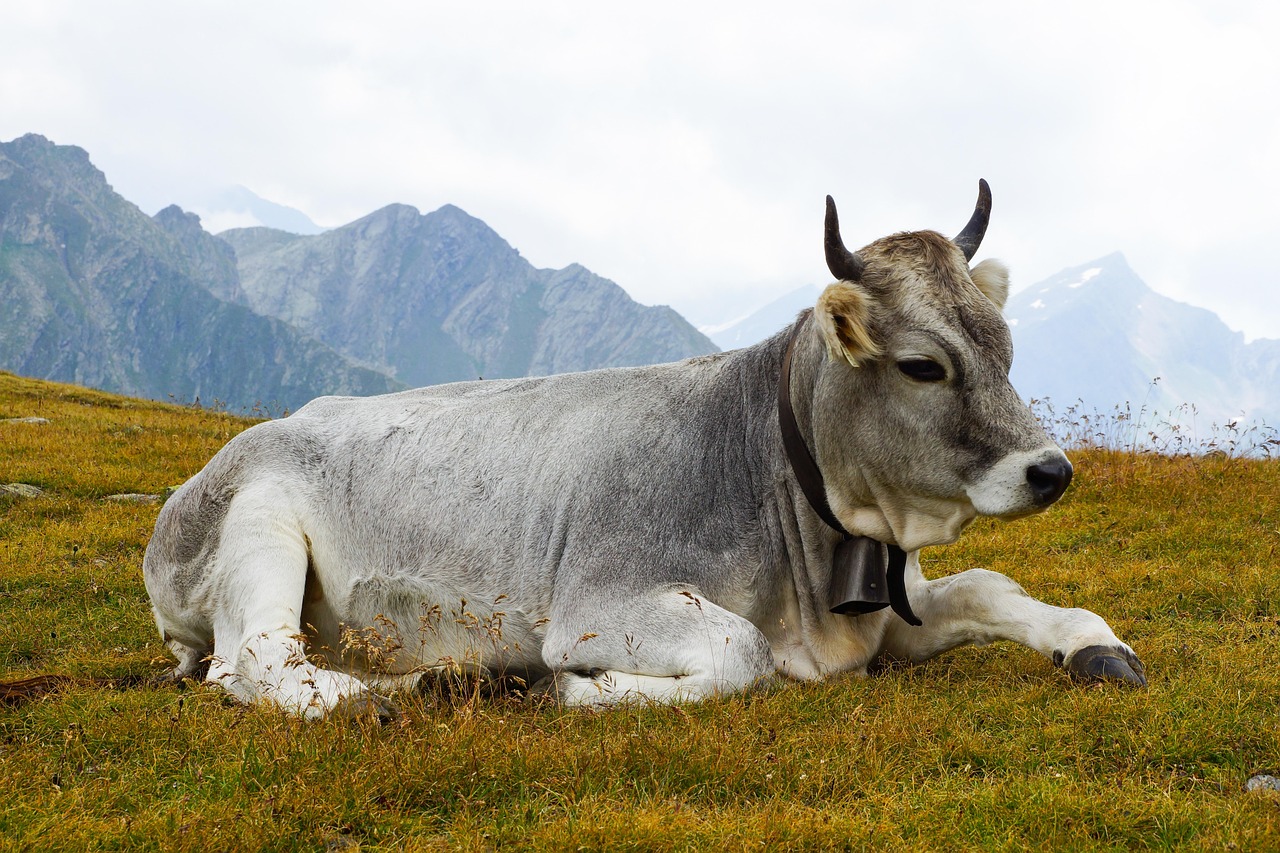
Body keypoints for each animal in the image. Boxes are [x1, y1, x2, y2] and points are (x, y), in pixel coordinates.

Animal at [143, 182, 1146, 719]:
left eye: (1005, 347)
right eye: (923, 366)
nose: (1052, 470)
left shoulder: (883, 614)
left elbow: (989, 588)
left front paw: (1093, 642)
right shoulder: (602, 598)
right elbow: (740, 653)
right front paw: (582, 690)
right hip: (258, 526)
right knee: (254, 660)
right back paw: (389, 693)